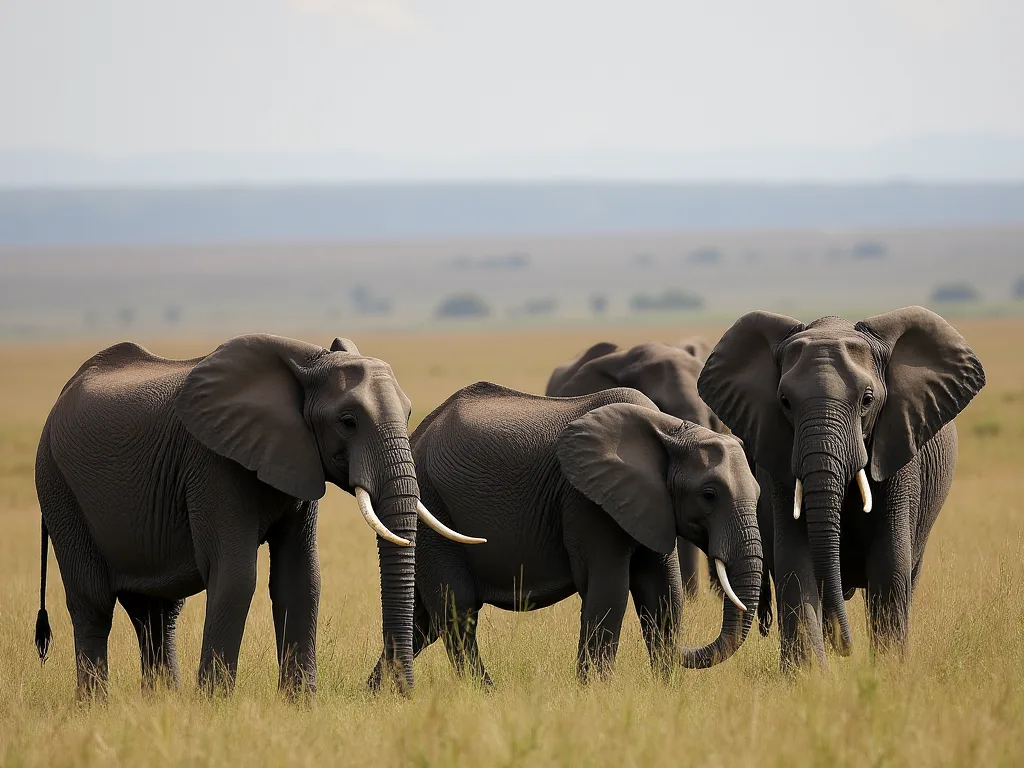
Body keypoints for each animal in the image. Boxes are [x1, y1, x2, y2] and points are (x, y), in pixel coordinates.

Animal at [33, 333, 478, 698]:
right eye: (348, 422)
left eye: (409, 414)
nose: (403, 694)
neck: (307, 362)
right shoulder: (214, 463)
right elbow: (236, 575)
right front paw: (214, 706)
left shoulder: (298, 460)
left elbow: (301, 579)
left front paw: (299, 704)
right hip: (58, 485)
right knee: (92, 601)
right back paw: (94, 706)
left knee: (156, 613)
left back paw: (161, 702)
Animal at [368, 382, 762, 686]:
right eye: (709, 495)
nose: (686, 651)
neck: (670, 431)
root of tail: (416, 434)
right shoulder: (587, 502)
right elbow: (609, 589)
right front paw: (596, 694)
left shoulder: (651, 505)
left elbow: (662, 593)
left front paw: (667, 691)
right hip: (432, 510)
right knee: (456, 609)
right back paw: (484, 693)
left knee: (424, 621)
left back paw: (379, 695)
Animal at [696, 307, 985, 670]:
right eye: (785, 401)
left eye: (867, 400)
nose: (845, 647)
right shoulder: (779, 461)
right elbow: (796, 561)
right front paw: (808, 677)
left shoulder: (900, 450)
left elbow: (890, 561)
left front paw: (889, 673)